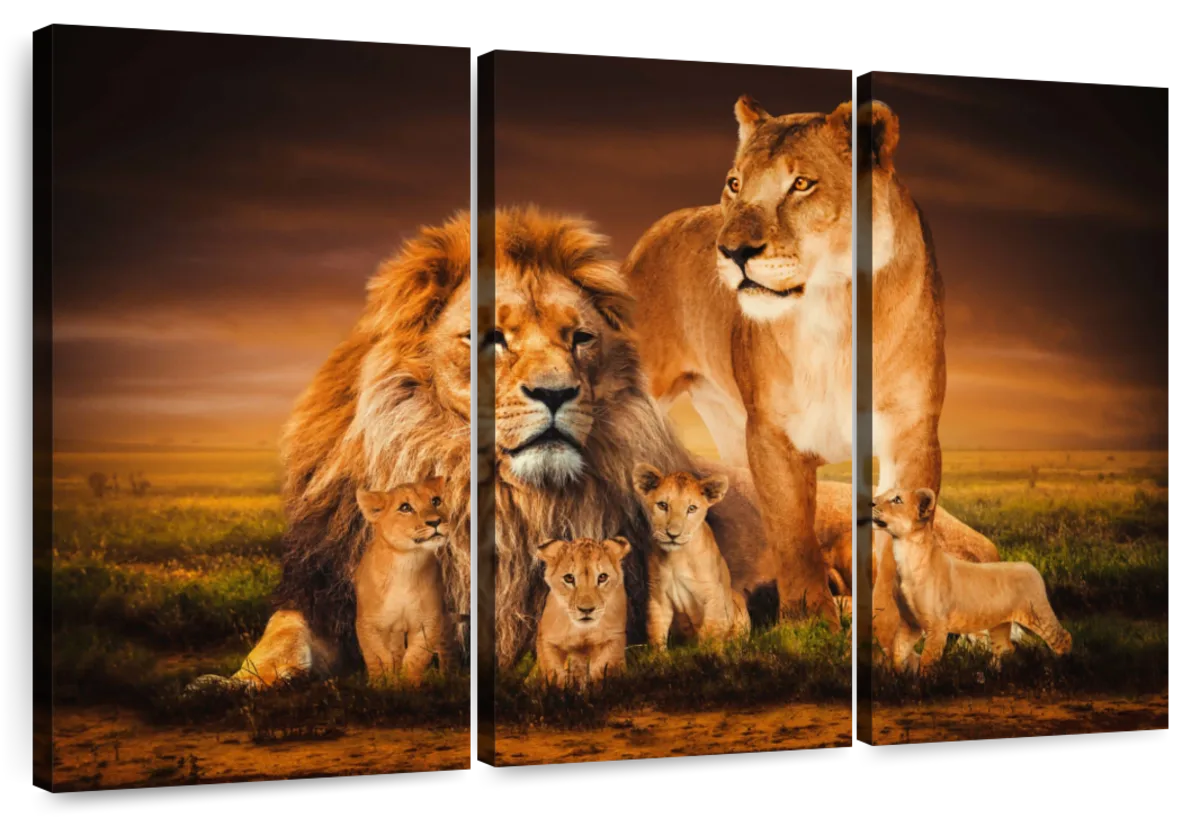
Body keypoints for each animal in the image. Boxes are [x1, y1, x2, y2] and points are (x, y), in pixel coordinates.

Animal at [353, 478, 453, 685]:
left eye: (436, 501)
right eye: (405, 507)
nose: (436, 521)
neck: (407, 562)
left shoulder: (429, 621)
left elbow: (416, 657)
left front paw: (409, 685)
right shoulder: (367, 624)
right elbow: (377, 657)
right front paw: (384, 684)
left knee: (446, 649)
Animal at [534, 536, 631, 687]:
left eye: (602, 577)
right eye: (569, 578)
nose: (586, 610)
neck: (582, 630)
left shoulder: (615, 636)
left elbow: (604, 667)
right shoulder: (546, 639)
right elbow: (553, 670)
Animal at [621, 96, 946, 627]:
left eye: (801, 184)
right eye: (735, 184)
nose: (732, 251)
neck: (835, 309)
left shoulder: (912, 429)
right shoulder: (772, 433)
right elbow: (793, 529)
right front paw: (811, 617)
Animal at [632, 463, 750, 647]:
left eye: (691, 509)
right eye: (663, 505)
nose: (673, 534)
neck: (676, 558)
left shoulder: (713, 594)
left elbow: (709, 633)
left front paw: (707, 653)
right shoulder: (658, 596)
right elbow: (656, 631)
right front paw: (658, 654)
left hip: (737, 600)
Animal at [871, 488, 1072, 677]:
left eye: (897, 499)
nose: (871, 502)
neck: (904, 555)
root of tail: (1030, 566)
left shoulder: (936, 625)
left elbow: (928, 659)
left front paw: (924, 683)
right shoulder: (909, 622)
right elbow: (898, 651)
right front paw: (898, 676)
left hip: (1037, 614)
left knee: (1063, 638)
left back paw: (1058, 668)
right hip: (997, 623)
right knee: (1005, 647)